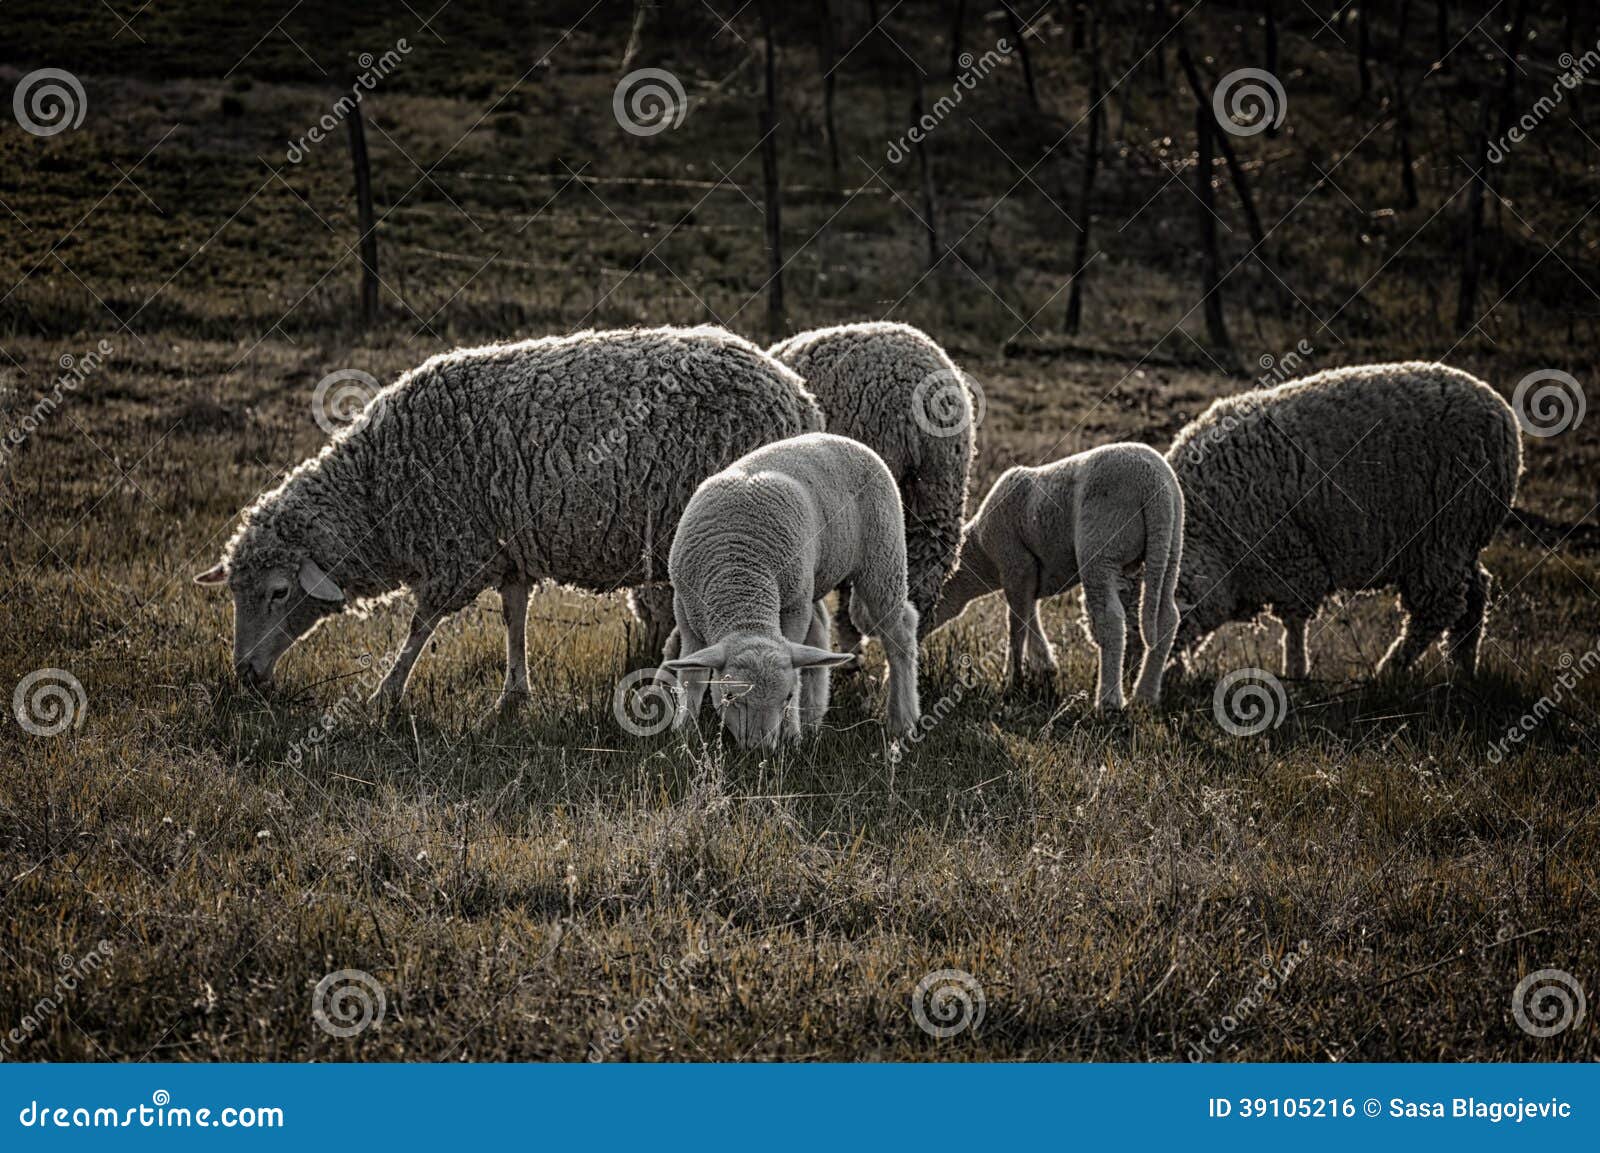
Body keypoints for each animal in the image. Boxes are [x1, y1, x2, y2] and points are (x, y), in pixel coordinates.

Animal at [194, 326, 823, 709]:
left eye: (278, 592)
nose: (244, 674)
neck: (379, 485)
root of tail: (797, 397)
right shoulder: (506, 547)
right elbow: (514, 617)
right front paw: (513, 694)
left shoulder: (457, 551)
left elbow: (421, 625)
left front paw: (386, 693)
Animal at [663, 432, 921, 747]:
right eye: (730, 696)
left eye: (785, 697)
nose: (759, 748)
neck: (738, 570)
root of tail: (838, 437)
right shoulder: (686, 614)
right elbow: (692, 676)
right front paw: (684, 731)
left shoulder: (793, 608)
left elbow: (795, 669)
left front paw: (792, 732)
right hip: (816, 577)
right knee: (820, 631)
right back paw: (813, 717)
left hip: (883, 557)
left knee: (900, 633)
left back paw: (902, 720)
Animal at [928, 443, 1184, 709]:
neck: (981, 556)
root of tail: (1155, 485)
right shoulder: (1031, 575)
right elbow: (1030, 614)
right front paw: (1043, 664)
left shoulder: (1016, 564)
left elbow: (1016, 624)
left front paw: (1012, 681)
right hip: (1169, 546)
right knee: (1167, 617)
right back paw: (1145, 695)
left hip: (1102, 546)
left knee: (1111, 620)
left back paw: (1108, 700)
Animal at [1167, 361, 1522, 679]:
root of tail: (1503, 415)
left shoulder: (1288, 556)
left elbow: (1294, 623)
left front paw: (1295, 672)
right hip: (1462, 538)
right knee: (1476, 594)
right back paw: (1464, 667)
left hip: (1444, 533)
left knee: (1439, 607)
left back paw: (1391, 669)